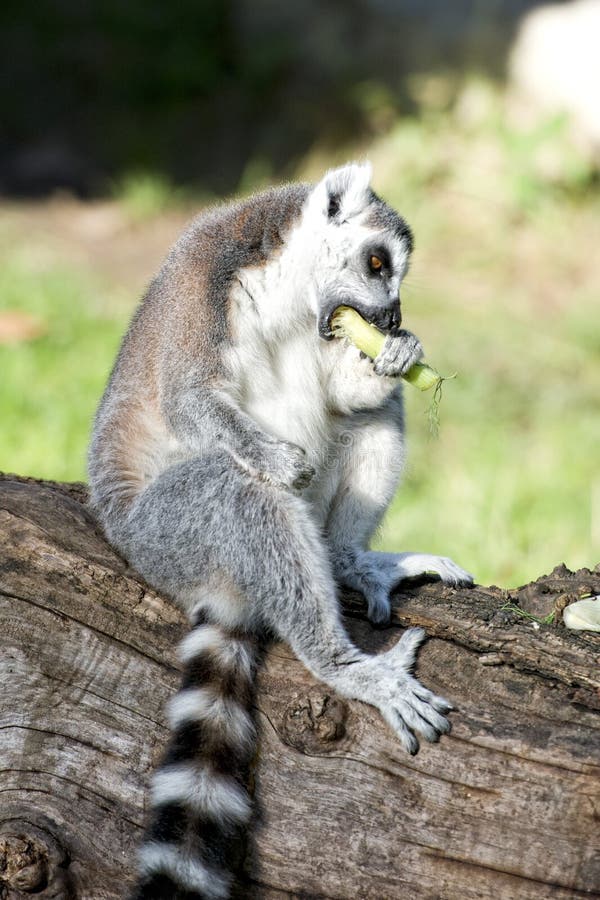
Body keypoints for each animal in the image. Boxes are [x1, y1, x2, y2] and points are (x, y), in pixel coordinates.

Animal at [87, 161, 473, 899]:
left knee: (374, 415)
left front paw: (396, 355)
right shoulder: (203, 282)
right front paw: (276, 458)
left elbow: (353, 396)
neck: (286, 295)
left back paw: (354, 561)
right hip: (169, 536)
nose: (394, 318)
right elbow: (189, 401)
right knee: (243, 496)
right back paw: (343, 665)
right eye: (377, 263)